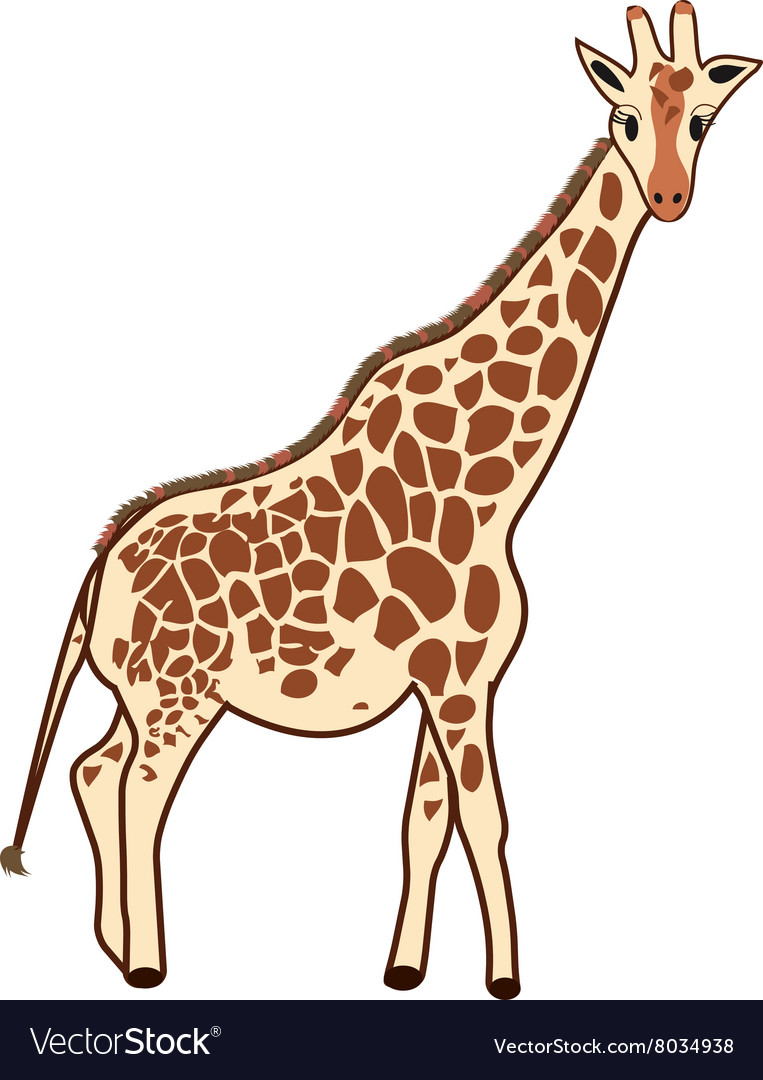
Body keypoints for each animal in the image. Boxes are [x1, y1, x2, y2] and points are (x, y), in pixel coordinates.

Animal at [2, 4, 758, 998]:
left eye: (701, 118)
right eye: (625, 118)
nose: (669, 198)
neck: (493, 479)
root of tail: (99, 571)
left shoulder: (455, 675)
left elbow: (424, 820)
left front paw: (403, 969)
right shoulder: (456, 678)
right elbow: (486, 816)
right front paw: (506, 980)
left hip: (142, 693)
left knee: (94, 771)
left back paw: (112, 944)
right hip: (178, 693)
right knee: (137, 789)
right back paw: (147, 965)